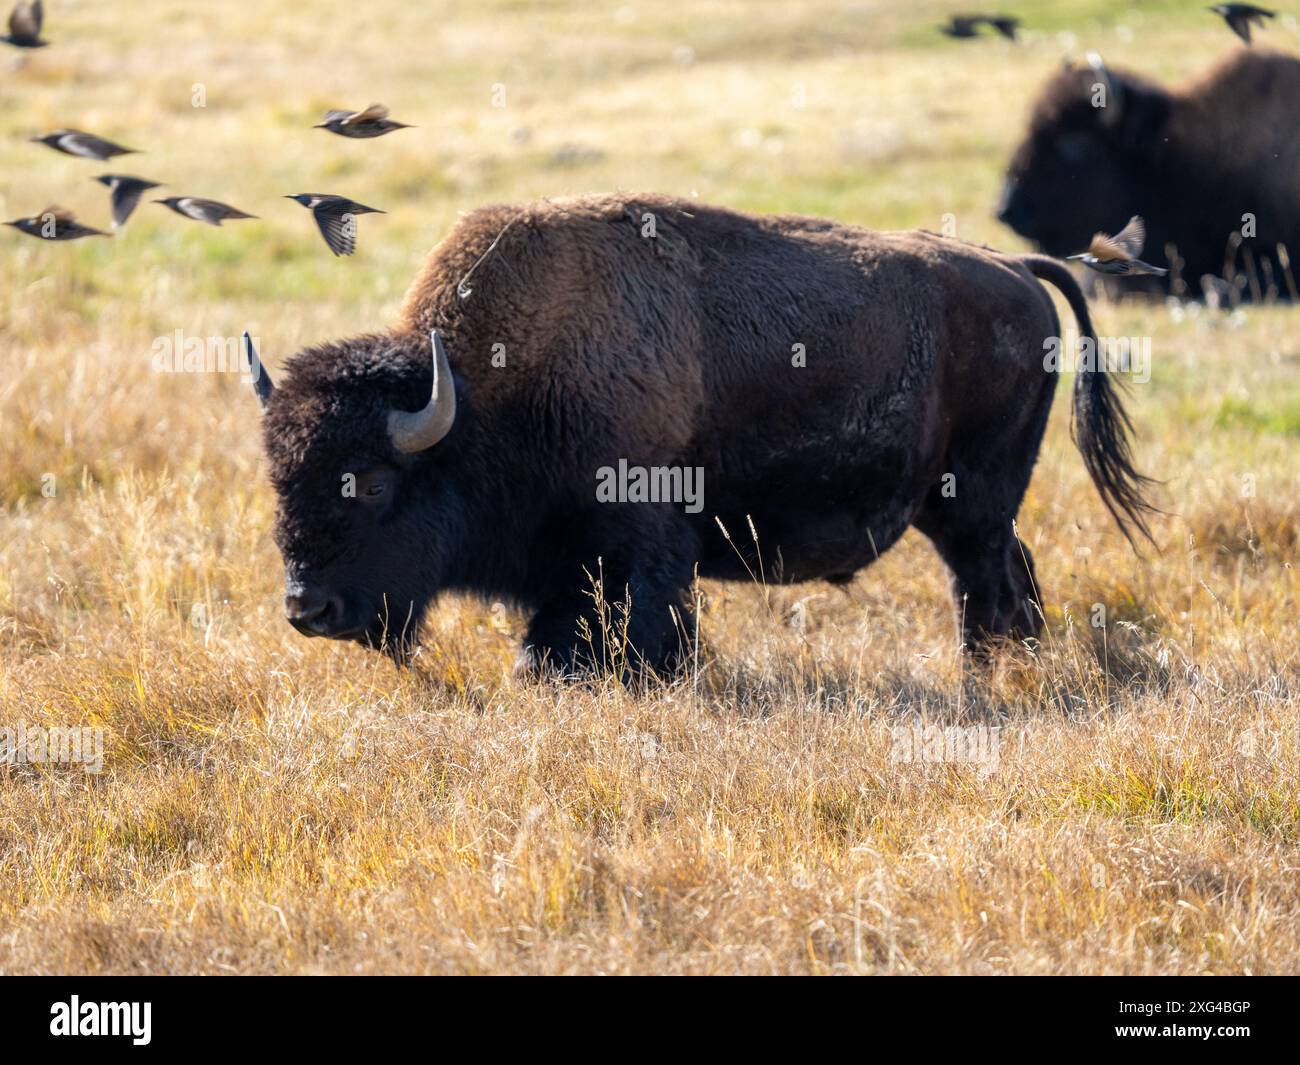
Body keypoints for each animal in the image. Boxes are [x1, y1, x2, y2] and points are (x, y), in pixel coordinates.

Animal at [245, 194, 1152, 675]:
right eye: (279, 480)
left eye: (371, 481)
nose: (307, 608)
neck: (476, 396)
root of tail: (1017, 269)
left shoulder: (634, 541)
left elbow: (624, 623)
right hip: (965, 508)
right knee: (1008, 580)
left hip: (975, 504)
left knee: (988, 584)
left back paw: (984, 673)